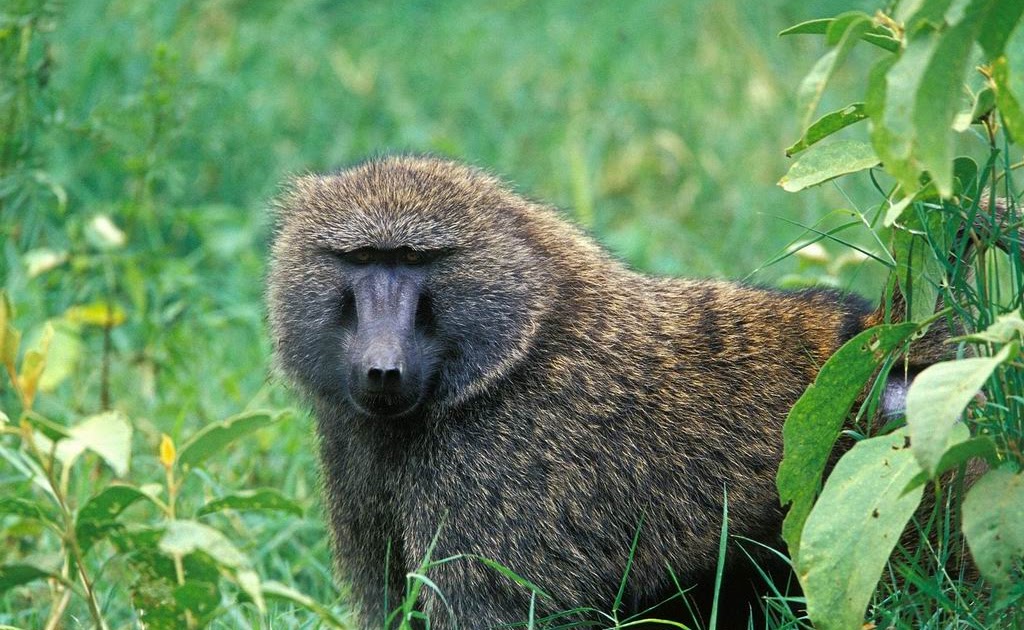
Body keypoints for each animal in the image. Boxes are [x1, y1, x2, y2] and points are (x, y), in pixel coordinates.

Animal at [266, 155, 1007, 628]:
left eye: (414, 260)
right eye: (362, 260)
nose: (382, 370)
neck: (515, 346)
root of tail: (894, 342)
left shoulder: (496, 475)